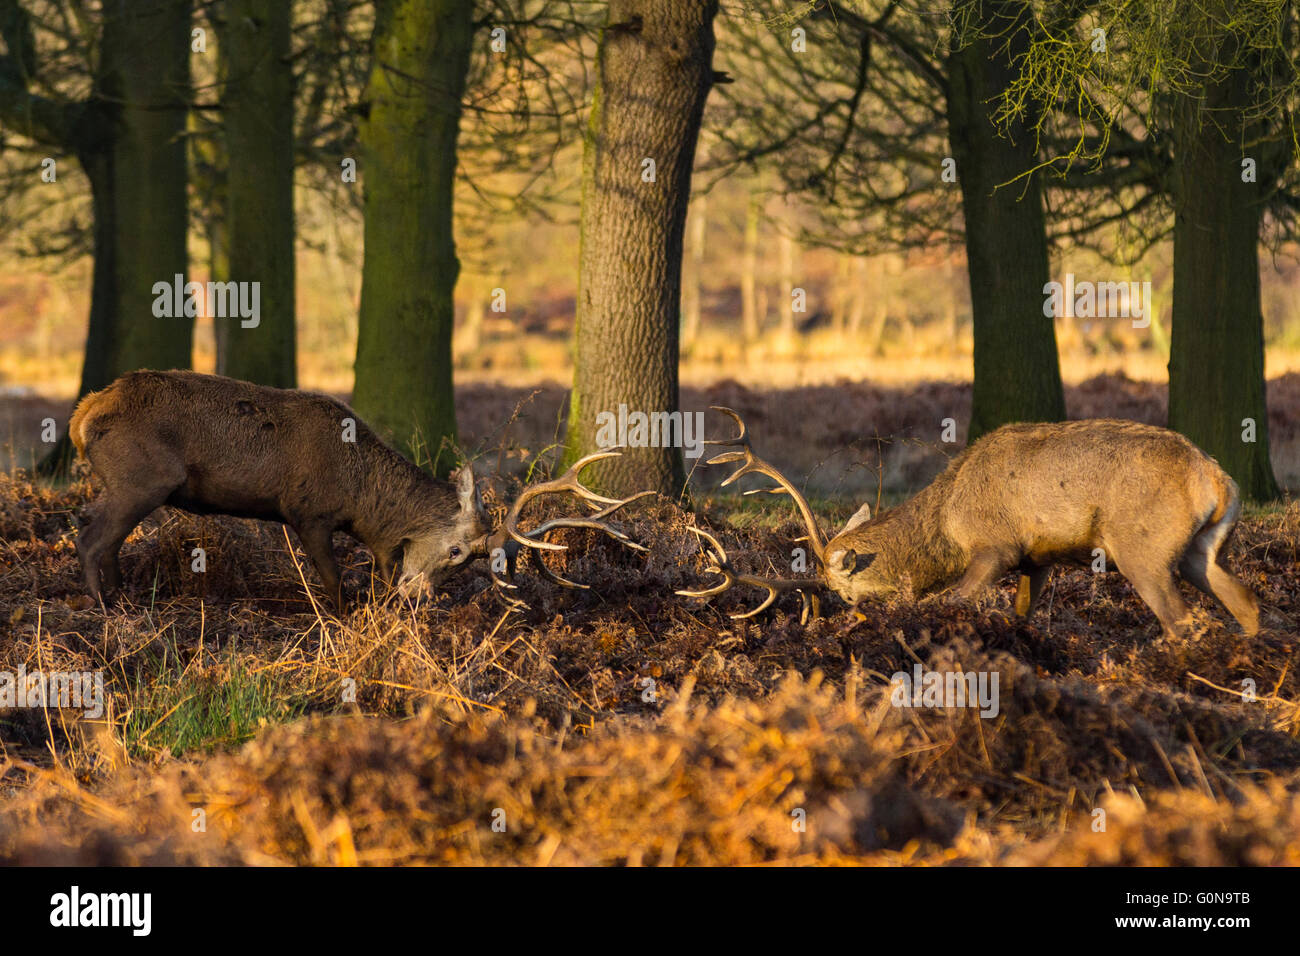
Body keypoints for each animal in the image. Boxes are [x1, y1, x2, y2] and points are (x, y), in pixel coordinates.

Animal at [69, 370, 652, 609]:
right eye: (458, 551)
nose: (418, 595)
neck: (361, 504)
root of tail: (84, 414)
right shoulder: (307, 511)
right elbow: (331, 578)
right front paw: (342, 616)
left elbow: (380, 569)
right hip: (140, 478)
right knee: (90, 539)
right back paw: (108, 607)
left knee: (101, 537)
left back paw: (124, 597)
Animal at [678, 408, 1261, 639]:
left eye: (842, 592)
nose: (844, 619)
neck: (946, 522)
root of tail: (1216, 479)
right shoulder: (1036, 558)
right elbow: (1023, 612)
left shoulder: (995, 546)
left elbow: (948, 600)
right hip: (1200, 548)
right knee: (1244, 598)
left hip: (1142, 547)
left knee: (1181, 619)